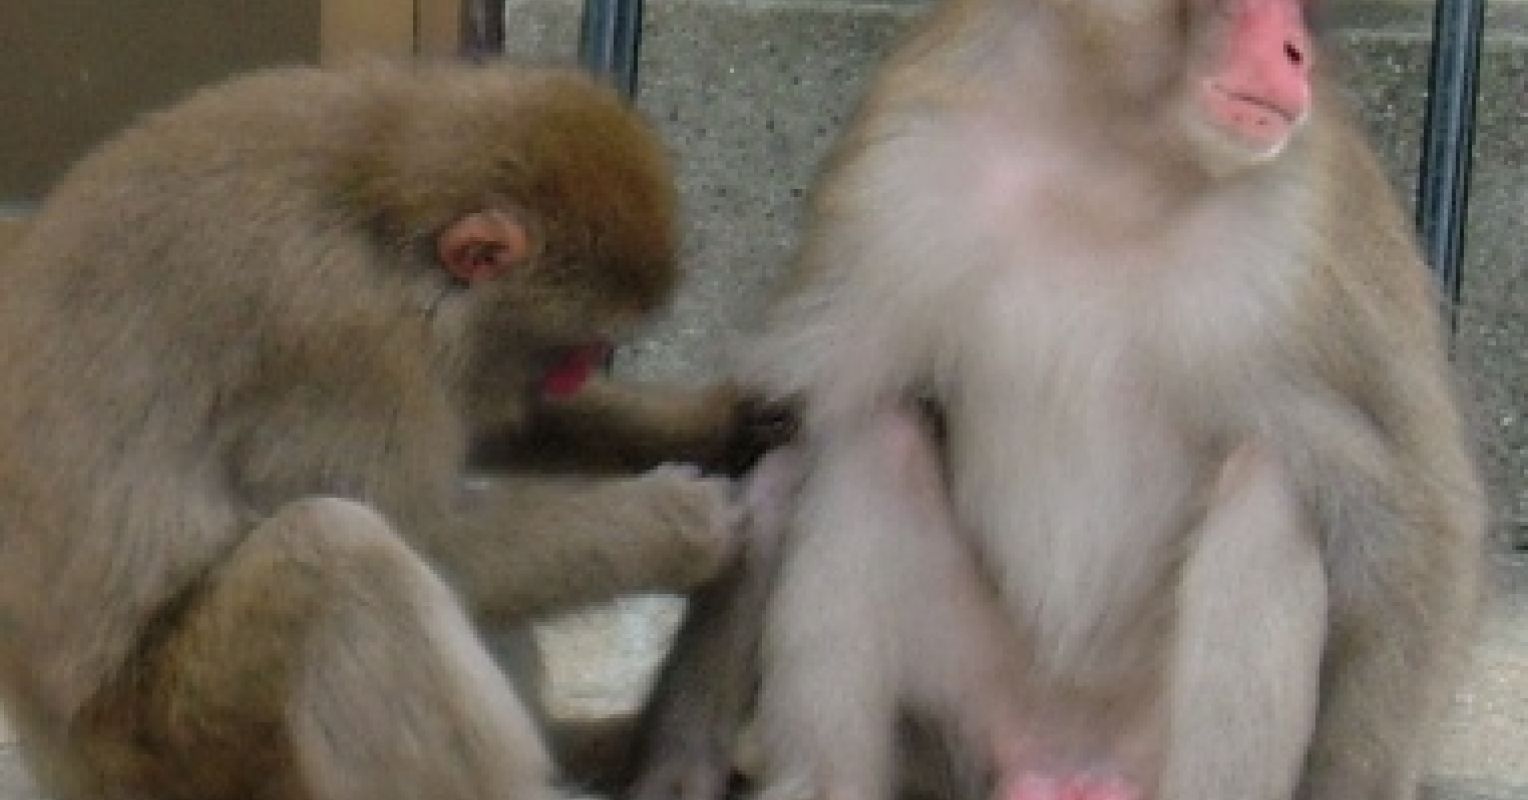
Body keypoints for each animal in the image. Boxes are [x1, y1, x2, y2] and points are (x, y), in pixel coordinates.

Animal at [0, 61, 780, 800]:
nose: (575, 373)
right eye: (577, 349)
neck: (374, 200)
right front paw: (679, 527)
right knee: (338, 554)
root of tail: (63, 767)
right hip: (179, 743)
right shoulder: (339, 333)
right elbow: (426, 535)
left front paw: (721, 424)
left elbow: (495, 425)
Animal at [626, 0, 1487, 799]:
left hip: (1140, 737)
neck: (1110, 150)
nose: (1294, 52)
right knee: (874, 440)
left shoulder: (1314, 229)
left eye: (1301, 11)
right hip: (978, 721)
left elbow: (1412, 510)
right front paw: (678, 759)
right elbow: (797, 423)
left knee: (1269, 493)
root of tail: (1069, 764)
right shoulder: (892, 169)